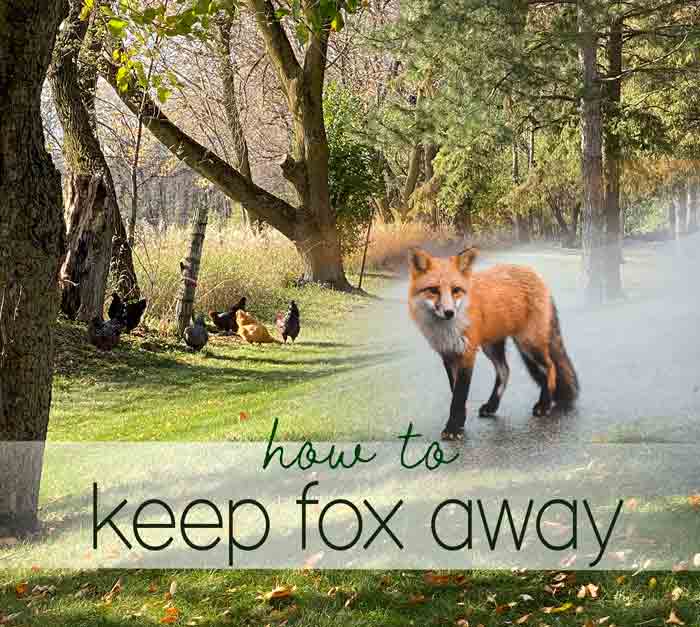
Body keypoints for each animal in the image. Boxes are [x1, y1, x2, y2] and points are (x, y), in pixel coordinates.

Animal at [408, 247, 579, 441]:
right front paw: (459, 423)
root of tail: (535, 274)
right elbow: (455, 393)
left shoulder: (467, 354)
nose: (449, 312)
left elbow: (459, 395)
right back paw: (492, 406)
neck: (448, 330)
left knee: (550, 368)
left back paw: (544, 405)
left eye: (456, 290)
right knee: (505, 371)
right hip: (492, 347)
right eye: (433, 290)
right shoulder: (448, 355)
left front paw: (453, 428)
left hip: (528, 343)